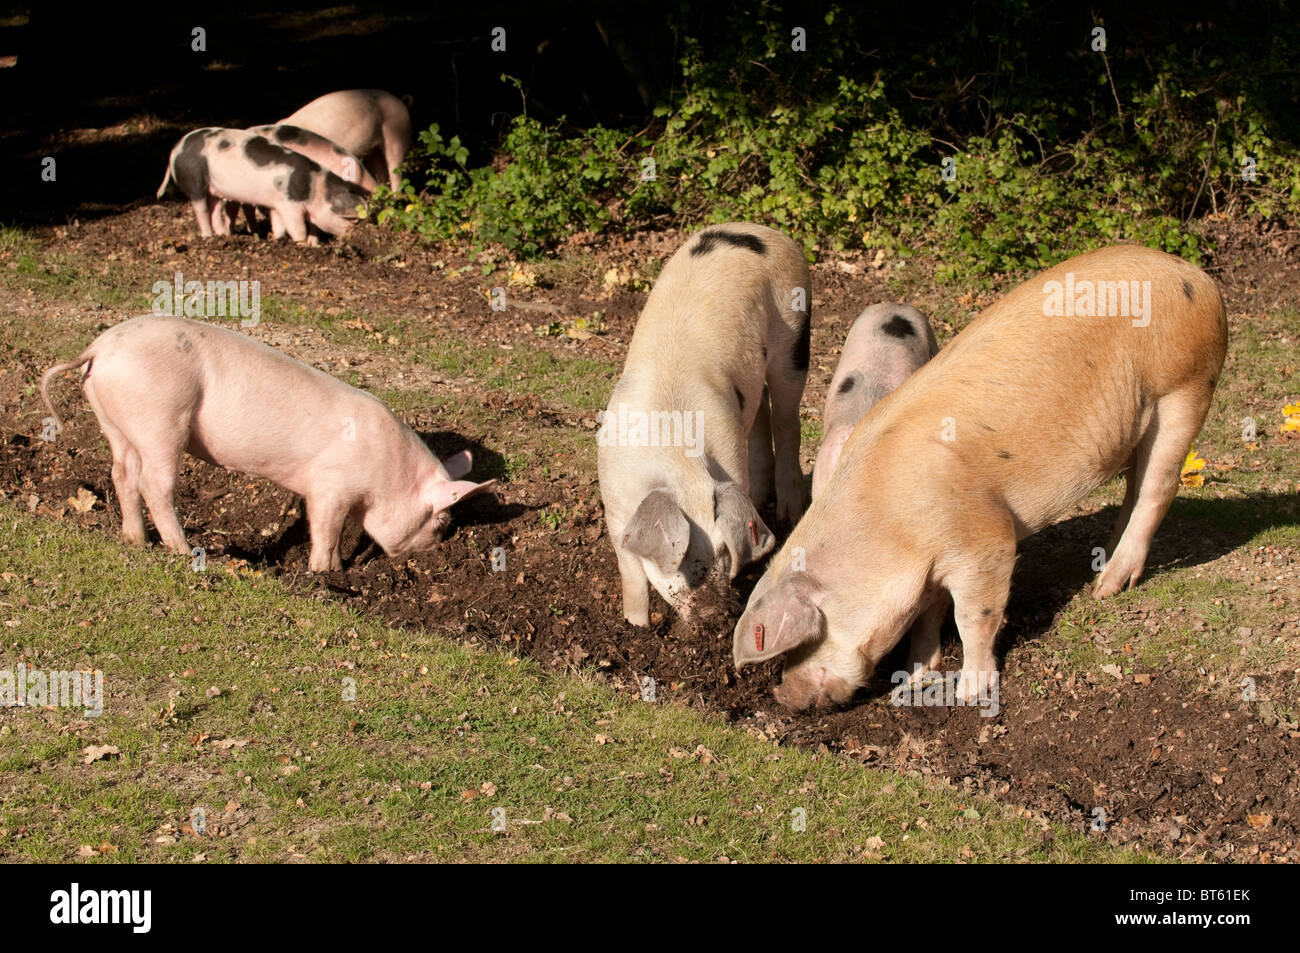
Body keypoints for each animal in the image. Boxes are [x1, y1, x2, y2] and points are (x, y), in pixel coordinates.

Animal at [40, 315, 495, 572]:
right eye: (441, 520)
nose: (436, 550)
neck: (388, 476)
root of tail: (99, 347)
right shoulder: (331, 487)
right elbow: (325, 529)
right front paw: (327, 573)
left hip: (115, 421)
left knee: (121, 473)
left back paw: (135, 541)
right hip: (161, 420)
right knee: (155, 484)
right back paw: (187, 552)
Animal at [156, 128, 369, 244]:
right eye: (349, 219)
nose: (355, 235)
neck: (315, 188)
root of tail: (175, 149)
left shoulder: (277, 204)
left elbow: (278, 224)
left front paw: (277, 239)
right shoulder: (291, 205)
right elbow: (297, 228)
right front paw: (301, 244)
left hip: (213, 188)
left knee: (215, 209)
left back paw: (224, 235)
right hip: (195, 180)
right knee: (201, 209)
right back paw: (208, 237)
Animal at [598, 222, 812, 626]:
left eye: (723, 550)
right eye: (679, 559)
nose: (713, 614)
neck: (680, 464)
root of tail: (764, 231)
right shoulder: (614, 505)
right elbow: (630, 573)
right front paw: (636, 625)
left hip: (795, 336)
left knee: (787, 422)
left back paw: (789, 512)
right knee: (761, 416)